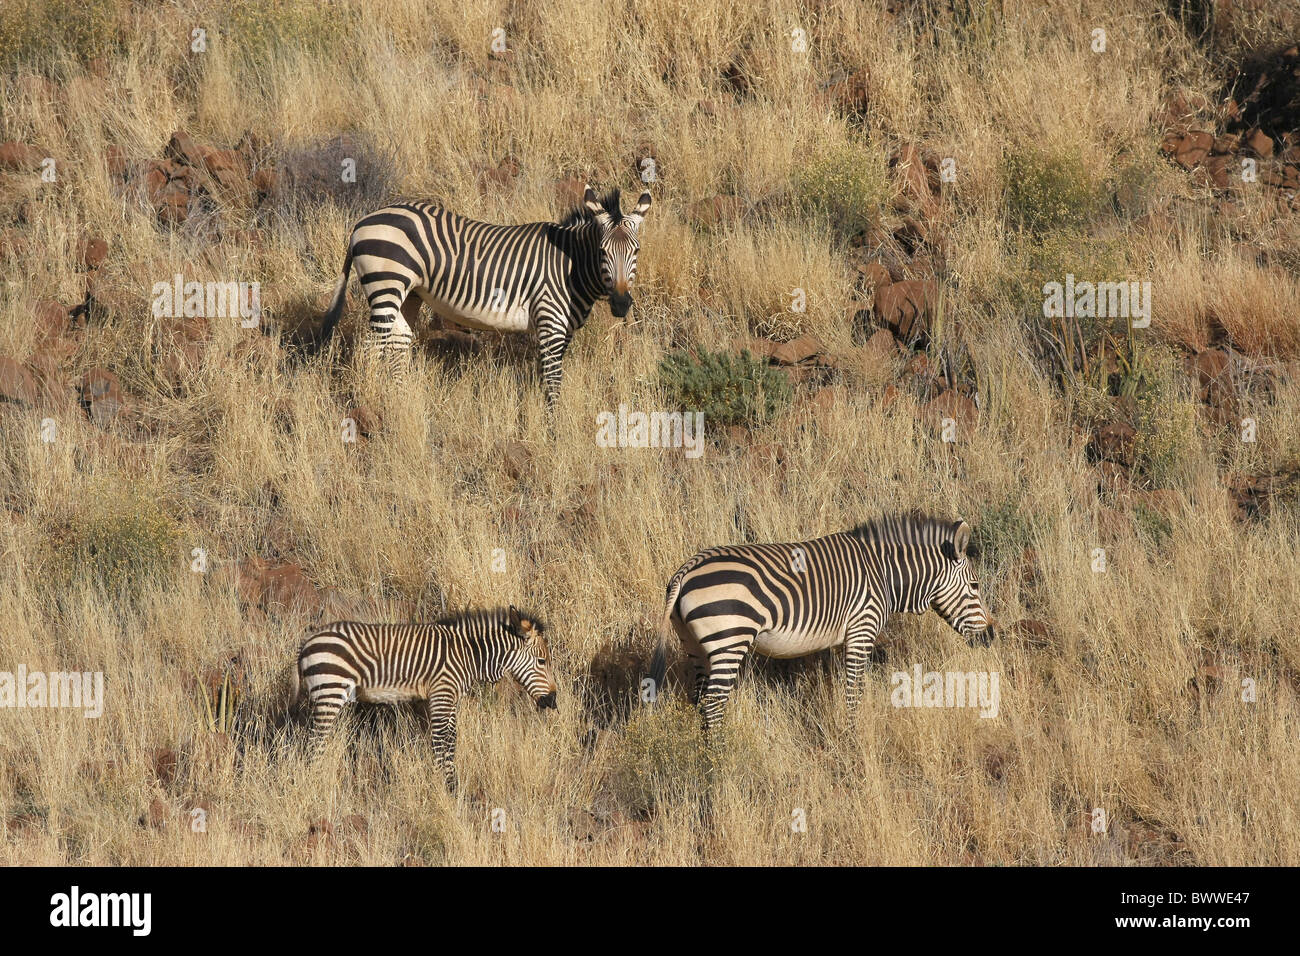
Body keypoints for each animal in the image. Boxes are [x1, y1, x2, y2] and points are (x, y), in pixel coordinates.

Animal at [287, 606, 557, 788]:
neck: (468, 654)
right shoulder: (442, 693)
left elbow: (452, 739)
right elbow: (441, 739)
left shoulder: (449, 698)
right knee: (316, 741)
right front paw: (443, 787)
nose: (553, 700)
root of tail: (308, 641)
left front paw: (452, 782)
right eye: (542, 661)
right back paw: (314, 779)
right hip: (330, 690)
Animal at [313, 184, 652, 408]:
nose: (621, 303)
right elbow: (553, 380)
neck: (570, 266)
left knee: (398, 341)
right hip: (386, 283)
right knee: (372, 348)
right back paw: (370, 402)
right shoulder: (550, 323)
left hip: (409, 293)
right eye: (602, 252)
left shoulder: (563, 329)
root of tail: (363, 221)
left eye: (636, 251)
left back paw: (400, 399)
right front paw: (553, 430)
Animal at [649, 514, 995, 734]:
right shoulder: (861, 629)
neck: (884, 574)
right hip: (728, 641)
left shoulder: (843, 639)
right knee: (713, 705)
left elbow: (841, 687)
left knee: (699, 701)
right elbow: (854, 692)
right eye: (975, 586)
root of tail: (685, 570)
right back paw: (721, 760)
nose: (991, 636)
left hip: (695, 646)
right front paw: (854, 738)